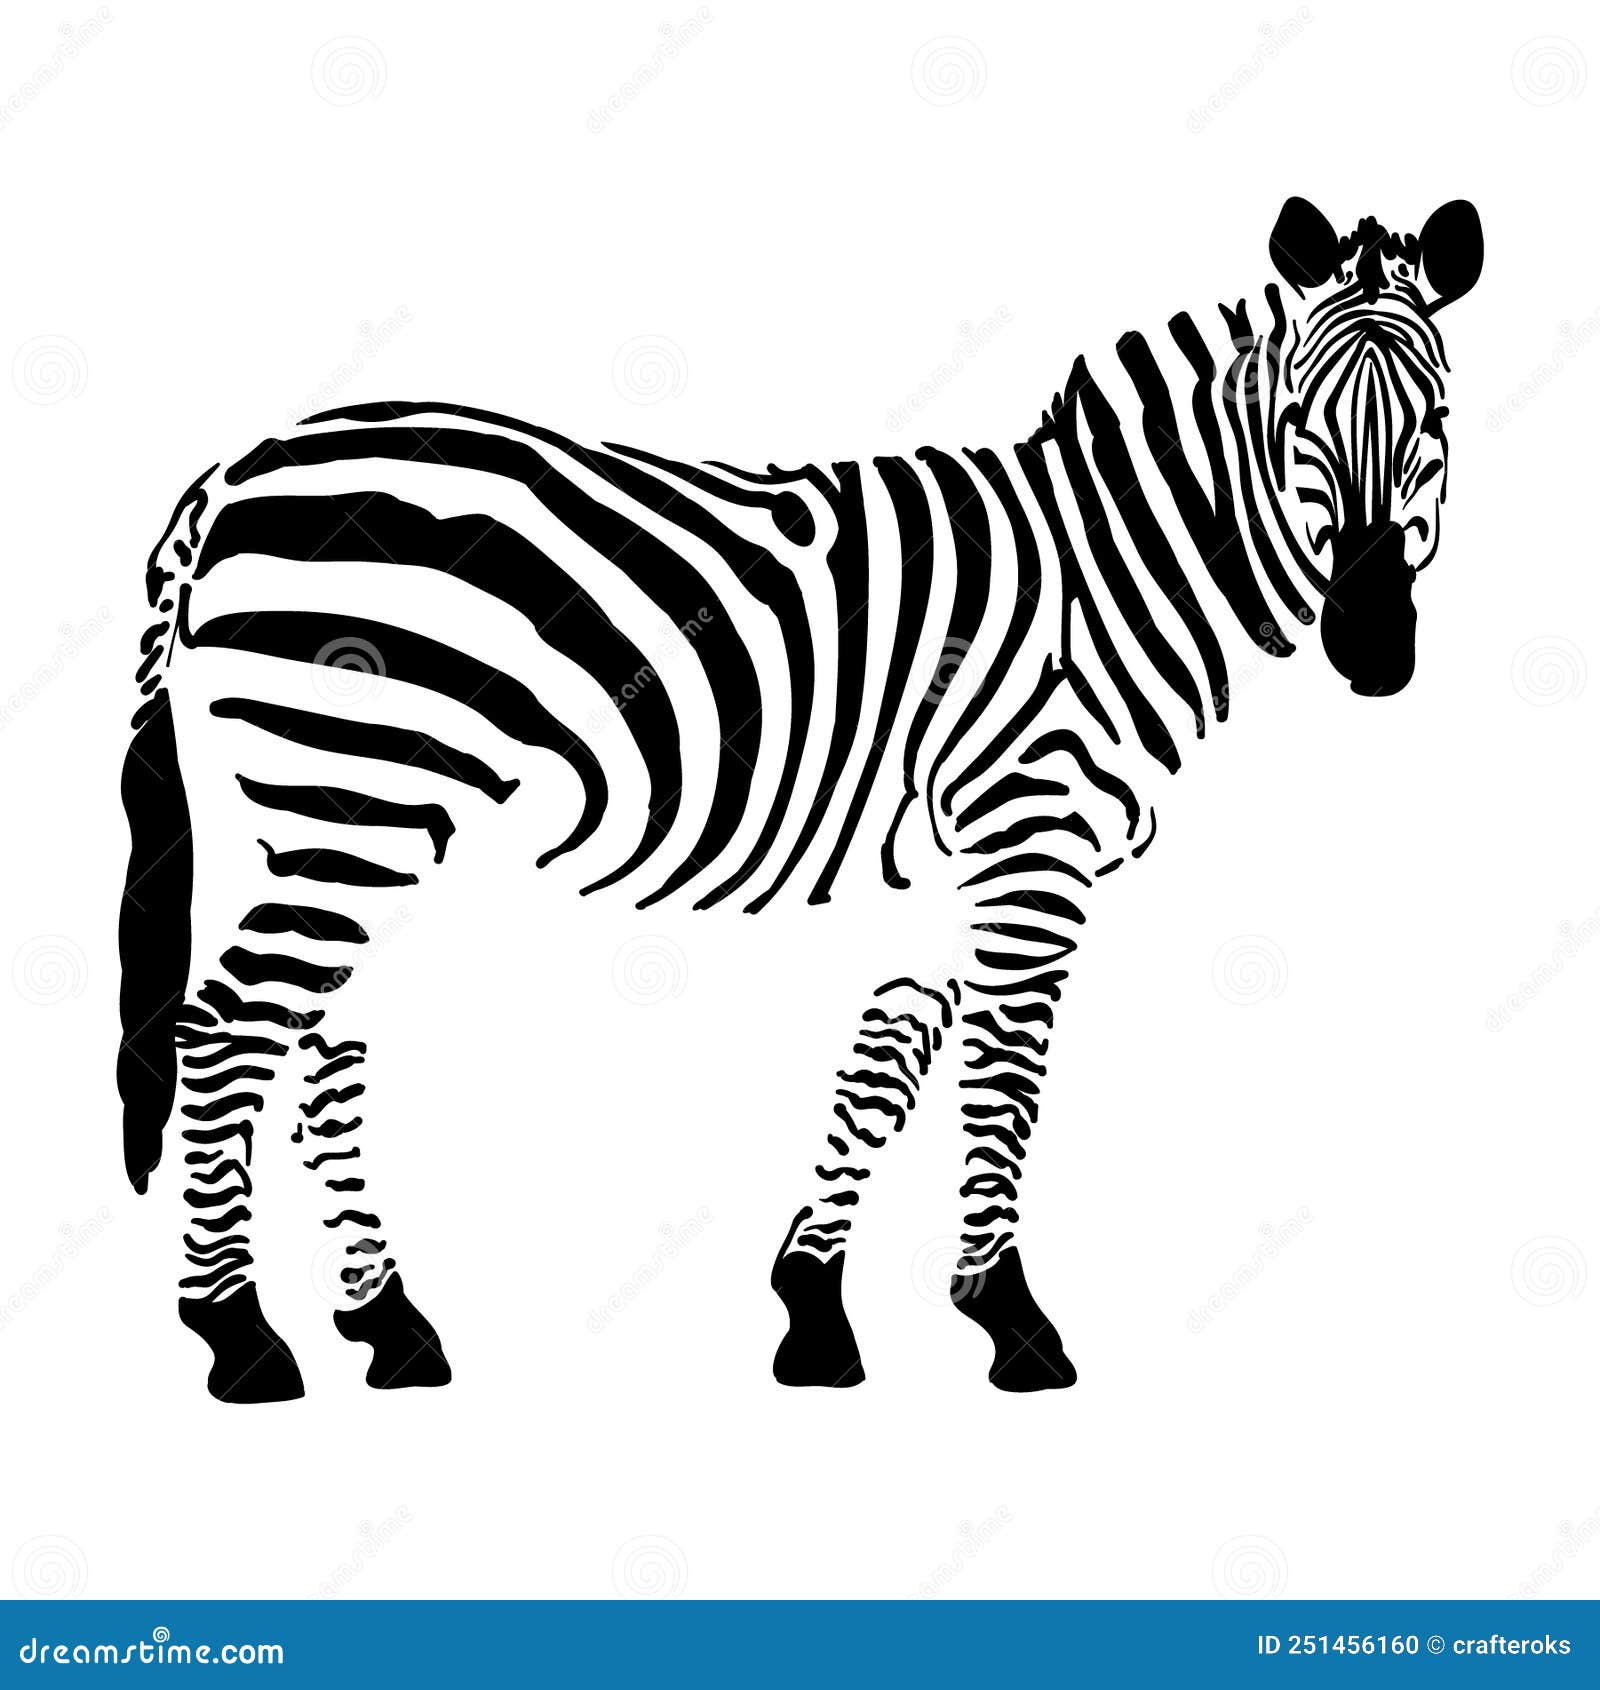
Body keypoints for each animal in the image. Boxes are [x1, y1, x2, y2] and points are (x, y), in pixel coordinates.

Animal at [117, 196, 1483, 1401]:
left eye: (1436, 417)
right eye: (1299, 419)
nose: (1374, 645)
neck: (1108, 572)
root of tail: (233, 473)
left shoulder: (952, 862)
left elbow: (886, 1061)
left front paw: (814, 1314)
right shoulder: (1030, 836)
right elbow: (1006, 1071)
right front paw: (1012, 1322)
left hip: (345, 817)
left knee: (314, 1036)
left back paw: (389, 1326)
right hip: (350, 789)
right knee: (227, 1028)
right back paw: (242, 1340)